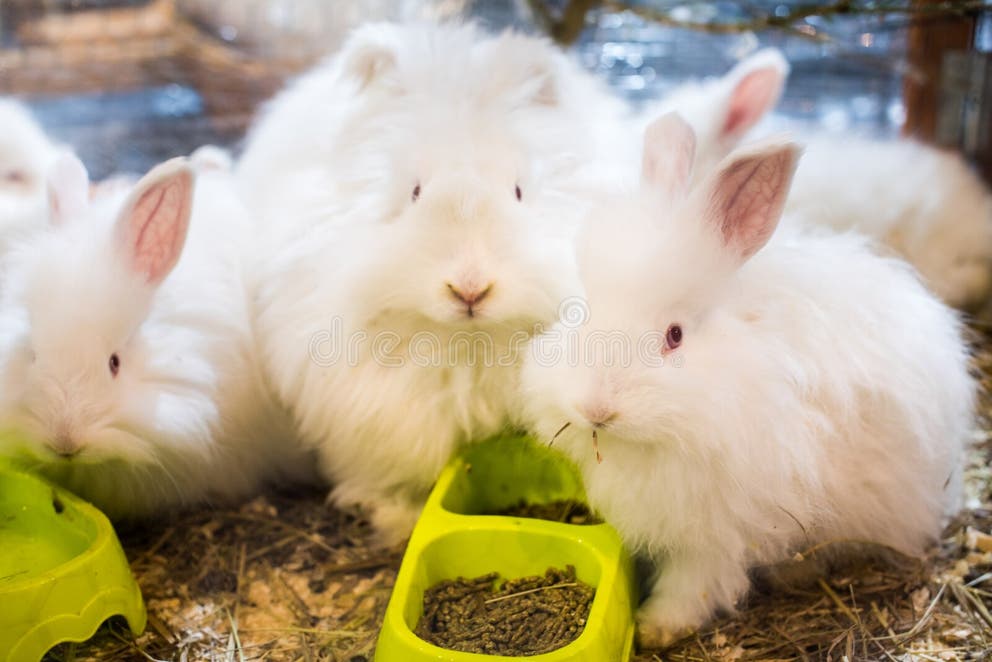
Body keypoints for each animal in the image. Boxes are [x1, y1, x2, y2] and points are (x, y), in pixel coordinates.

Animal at [519, 114, 976, 647]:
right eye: (582, 311)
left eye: (674, 335)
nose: (596, 409)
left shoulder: (719, 534)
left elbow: (694, 585)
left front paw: (655, 628)